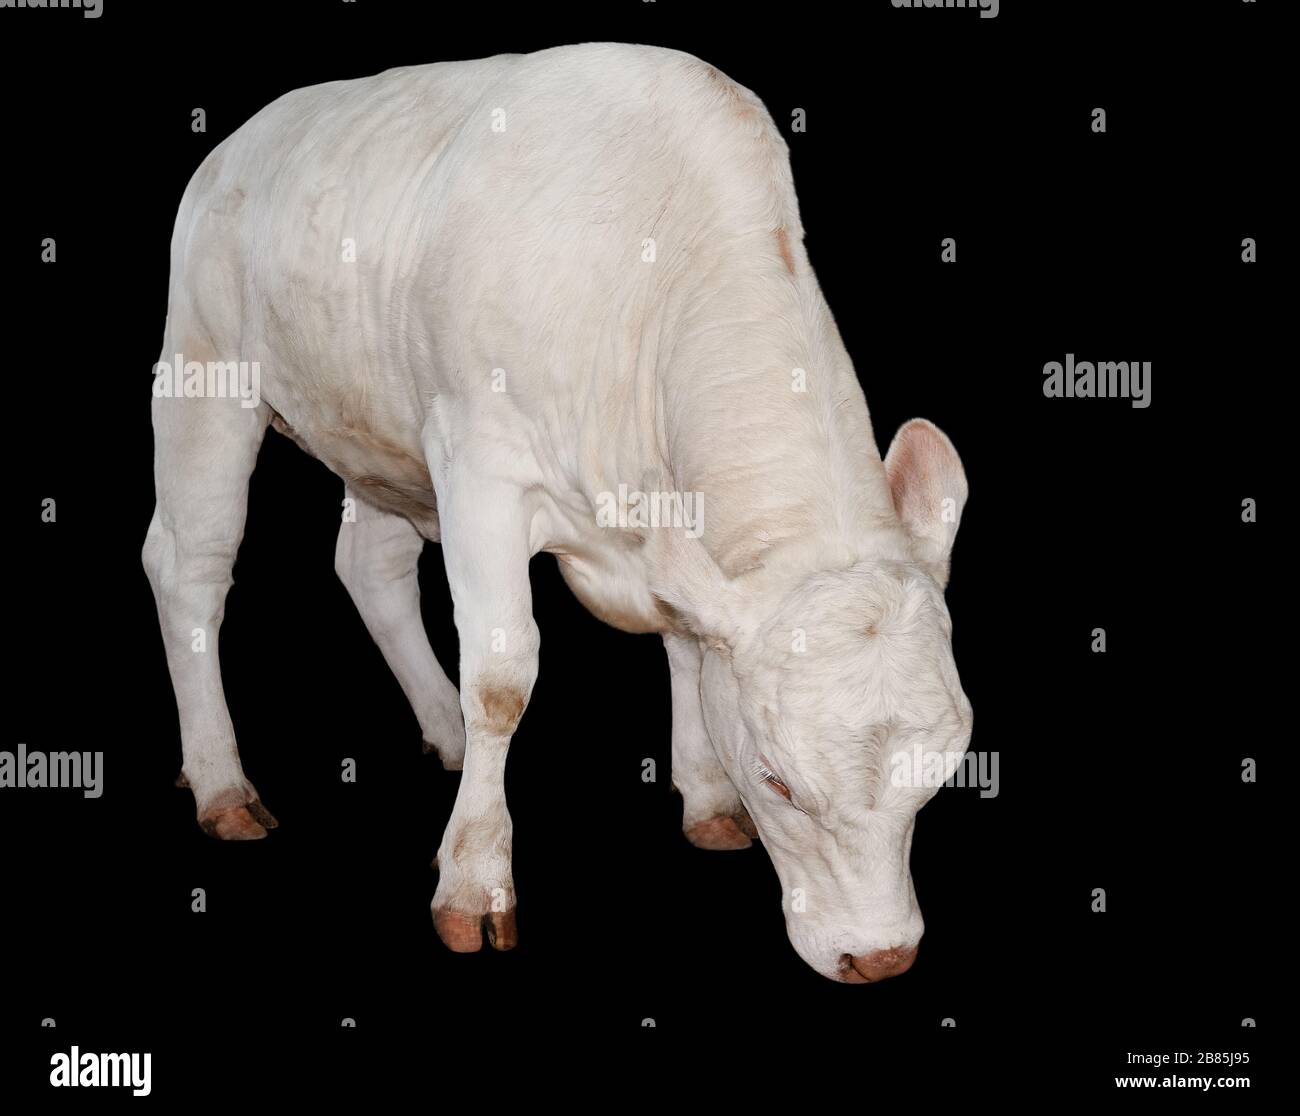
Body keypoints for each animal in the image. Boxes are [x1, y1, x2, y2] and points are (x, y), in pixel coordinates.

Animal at [144, 43, 973, 983]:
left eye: (940, 774)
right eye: (777, 779)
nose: (883, 958)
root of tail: (250, 133)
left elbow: (685, 646)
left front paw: (705, 799)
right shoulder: (479, 462)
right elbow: (503, 677)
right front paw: (475, 880)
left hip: (380, 429)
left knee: (371, 569)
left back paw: (444, 731)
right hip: (206, 372)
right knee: (190, 567)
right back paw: (221, 782)